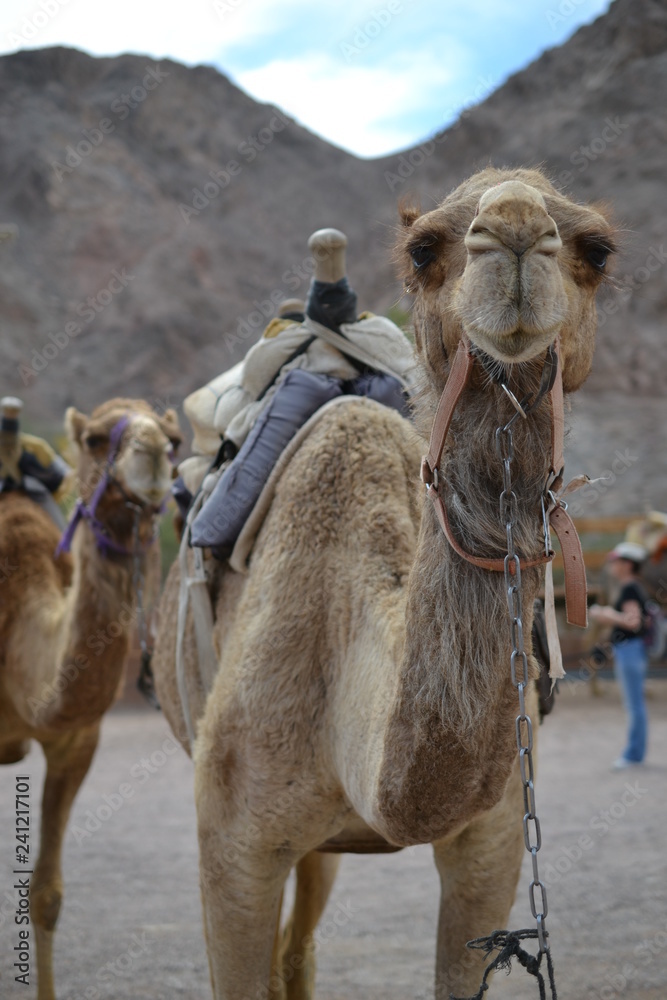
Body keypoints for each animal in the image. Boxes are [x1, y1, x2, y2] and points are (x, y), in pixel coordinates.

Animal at [152, 166, 617, 998]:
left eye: (596, 249)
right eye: (423, 248)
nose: (514, 229)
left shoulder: (493, 841)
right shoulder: (231, 845)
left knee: (299, 947)